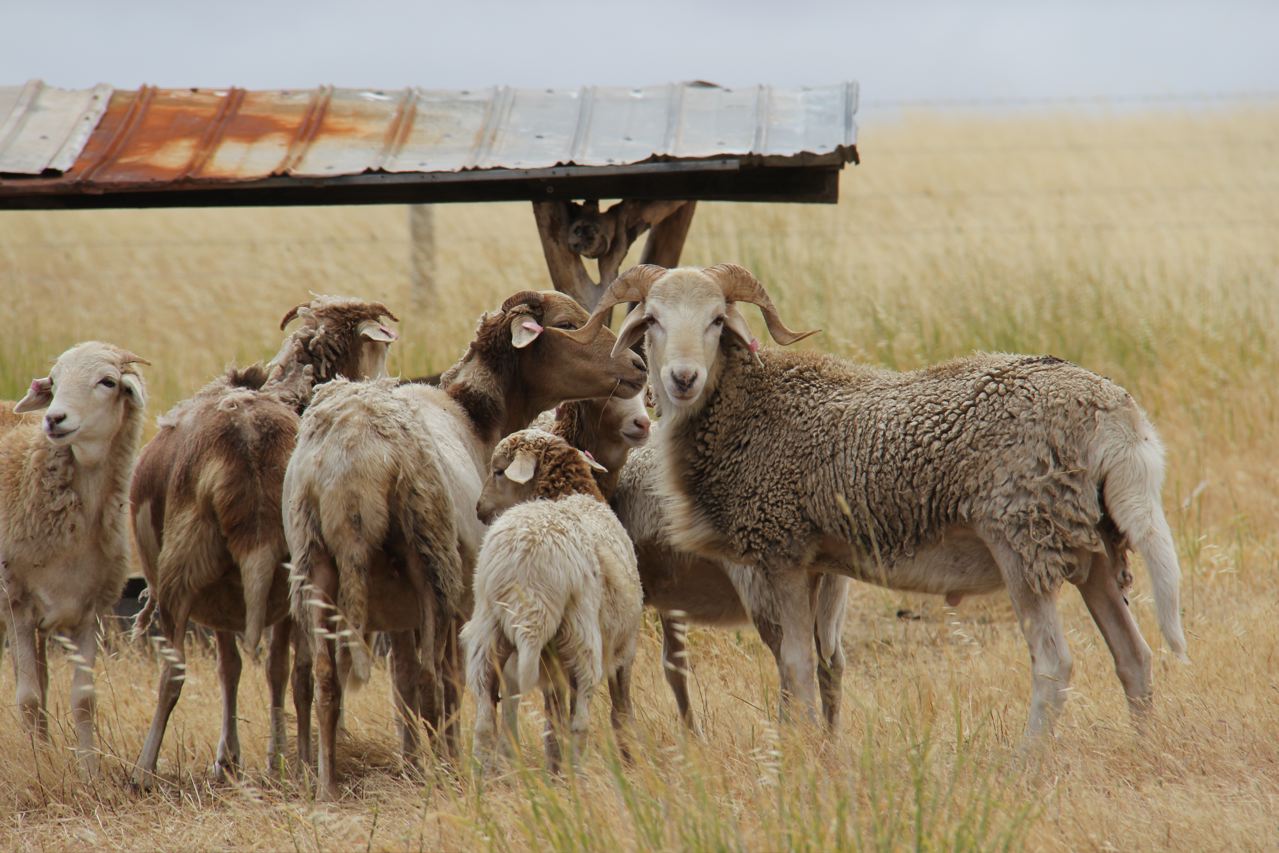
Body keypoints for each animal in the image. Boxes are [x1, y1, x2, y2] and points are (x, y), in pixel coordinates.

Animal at [0, 342, 148, 775]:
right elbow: (29, 699)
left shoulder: (88, 611)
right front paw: (38, 769)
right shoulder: (16, 604)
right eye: (55, 380)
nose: (54, 419)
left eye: (108, 382)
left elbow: (83, 700)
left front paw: (88, 771)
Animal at [129, 295, 397, 787]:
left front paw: (243, 757)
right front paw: (270, 757)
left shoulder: (228, 596)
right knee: (279, 672)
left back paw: (145, 768)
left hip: (193, 567)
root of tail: (246, 444)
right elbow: (260, 670)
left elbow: (240, 670)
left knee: (177, 674)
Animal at [463, 429, 643, 772]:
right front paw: (629, 759)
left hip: (489, 632)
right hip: (581, 635)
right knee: (580, 722)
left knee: (483, 719)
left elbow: (552, 722)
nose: (478, 509)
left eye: (498, 471)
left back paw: (485, 778)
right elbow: (620, 711)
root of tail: (528, 564)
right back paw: (577, 773)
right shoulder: (625, 647)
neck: (568, 492)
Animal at [570, 263, 1187, 738]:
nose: (682, 378)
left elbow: (796, 669)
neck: (748, 407)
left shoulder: (780, 553)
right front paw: (818, 751)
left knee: (1055, 665)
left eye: (717, 320)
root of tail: (1115, 412)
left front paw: (798, 759)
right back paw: (1144, 750)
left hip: (1024, 541)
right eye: (652, 320)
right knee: (1134, 657)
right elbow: (815, 669)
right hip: (1092, 549)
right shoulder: (817, 567)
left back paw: (1025, 769)